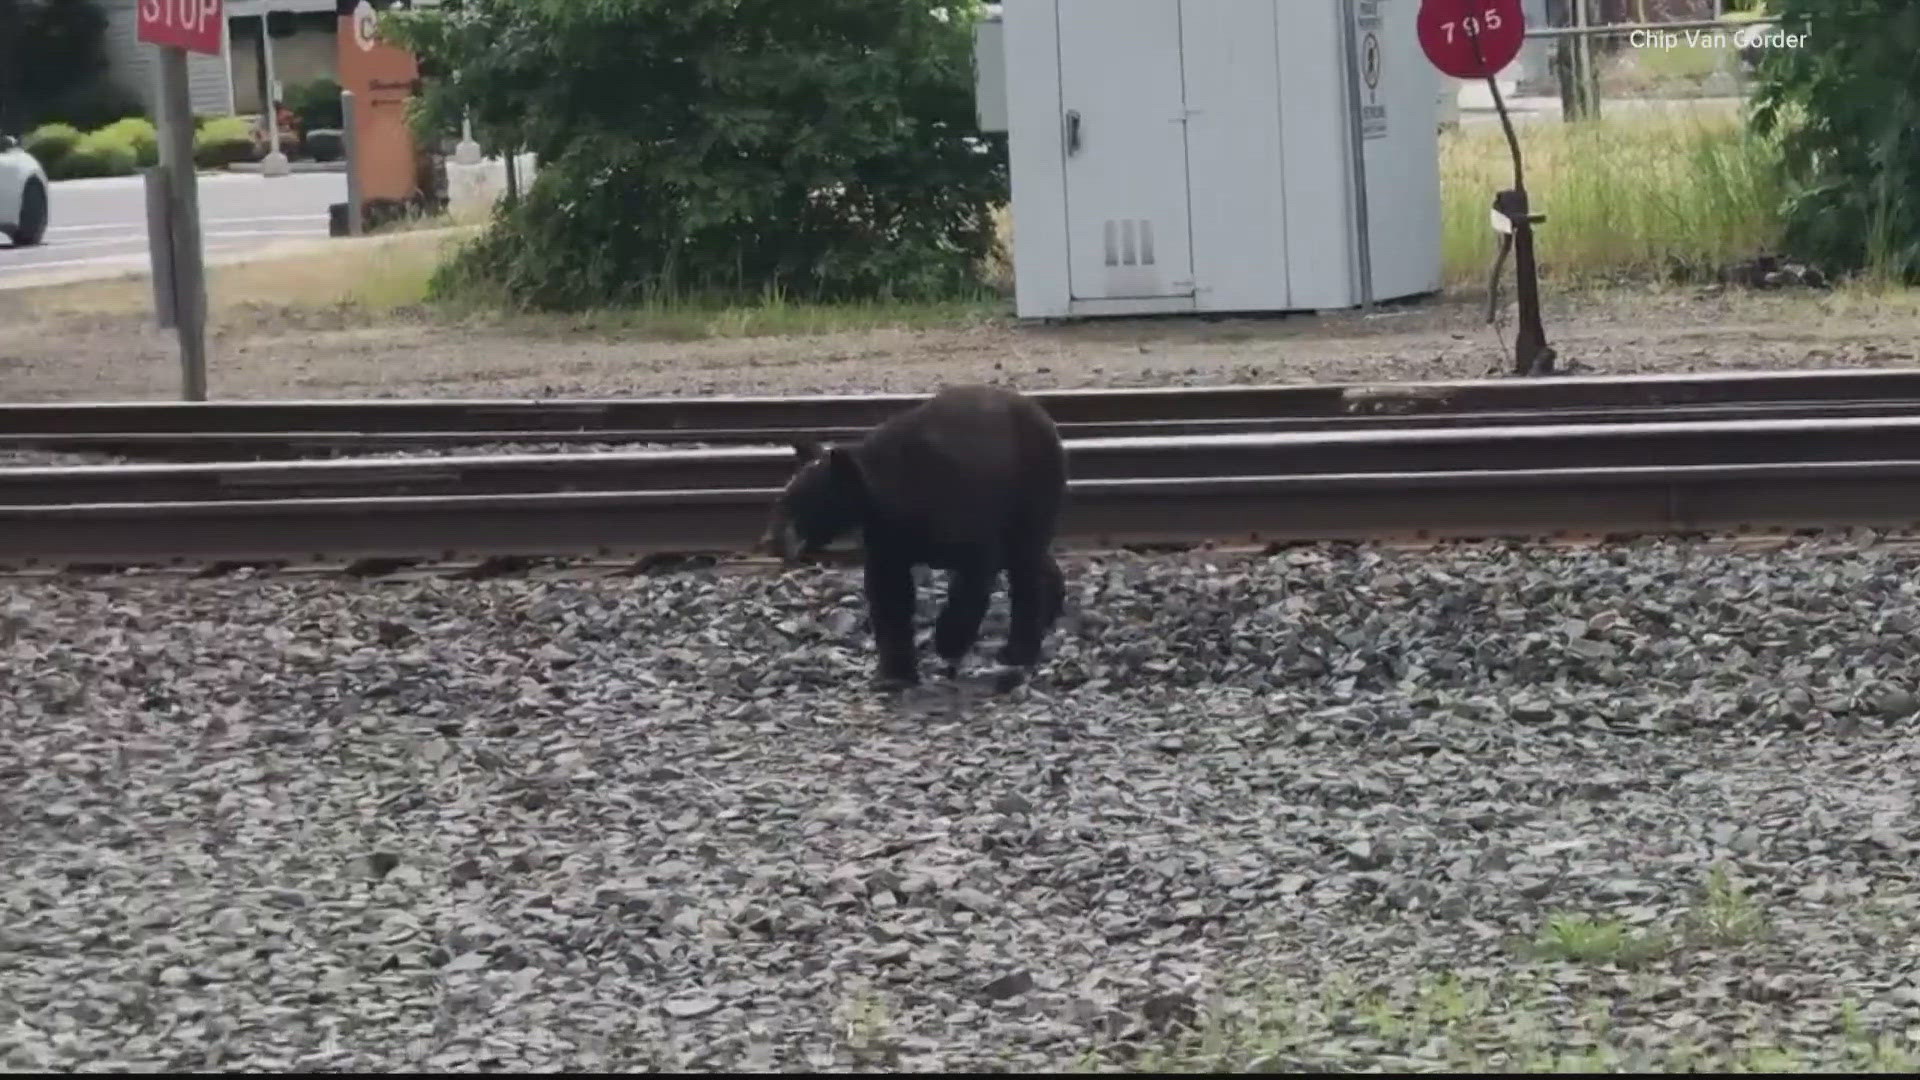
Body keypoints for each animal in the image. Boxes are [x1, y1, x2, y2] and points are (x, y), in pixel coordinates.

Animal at [759, 383, 1069, 690]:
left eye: (803, 503)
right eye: (782, 500)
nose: (771, 541)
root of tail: (1043, 416)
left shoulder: (960, 512)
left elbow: (974, 573)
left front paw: (948, 641)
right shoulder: (887, 538)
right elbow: (890, 591)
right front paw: (894, 673)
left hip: (1033, 482)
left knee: (1024, 564)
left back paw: (1018, 650)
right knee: (1030, 557)